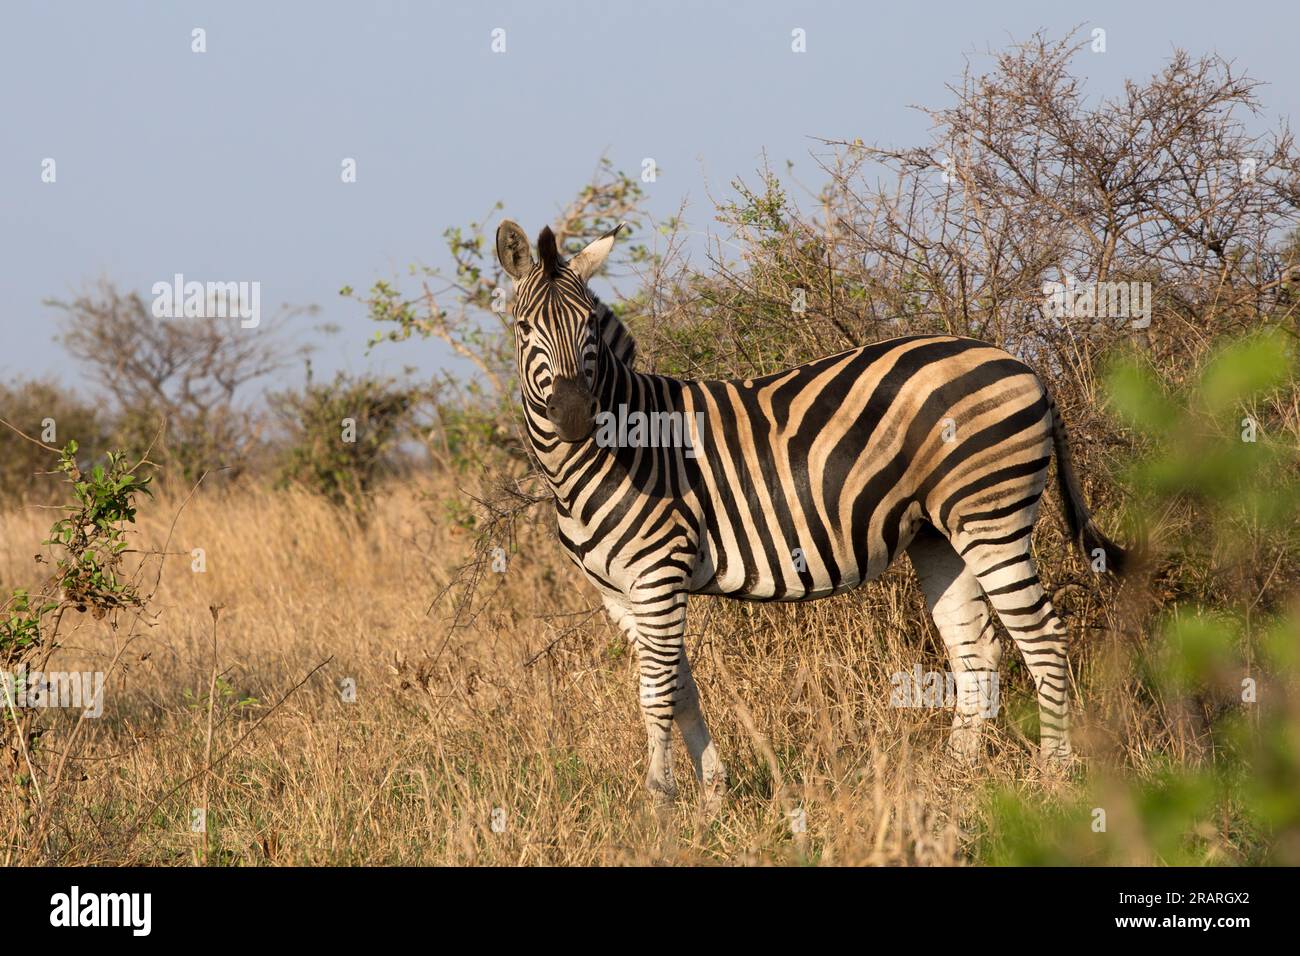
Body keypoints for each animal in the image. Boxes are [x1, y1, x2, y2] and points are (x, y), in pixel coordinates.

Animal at [495, 219, 1126, 808]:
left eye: (588, 328)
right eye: (525, 329)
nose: (575, 417)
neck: (612, 453)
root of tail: (1023, 365)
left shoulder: (658, 572)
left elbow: (657, 693)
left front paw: (660, 803)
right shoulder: (619, 591)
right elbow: (681, 688)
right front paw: (712, 798)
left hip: (991, 514)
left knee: (1042, 636)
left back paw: (1054, 779)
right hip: (940, 533)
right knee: (976, 649)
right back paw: (952, 781)